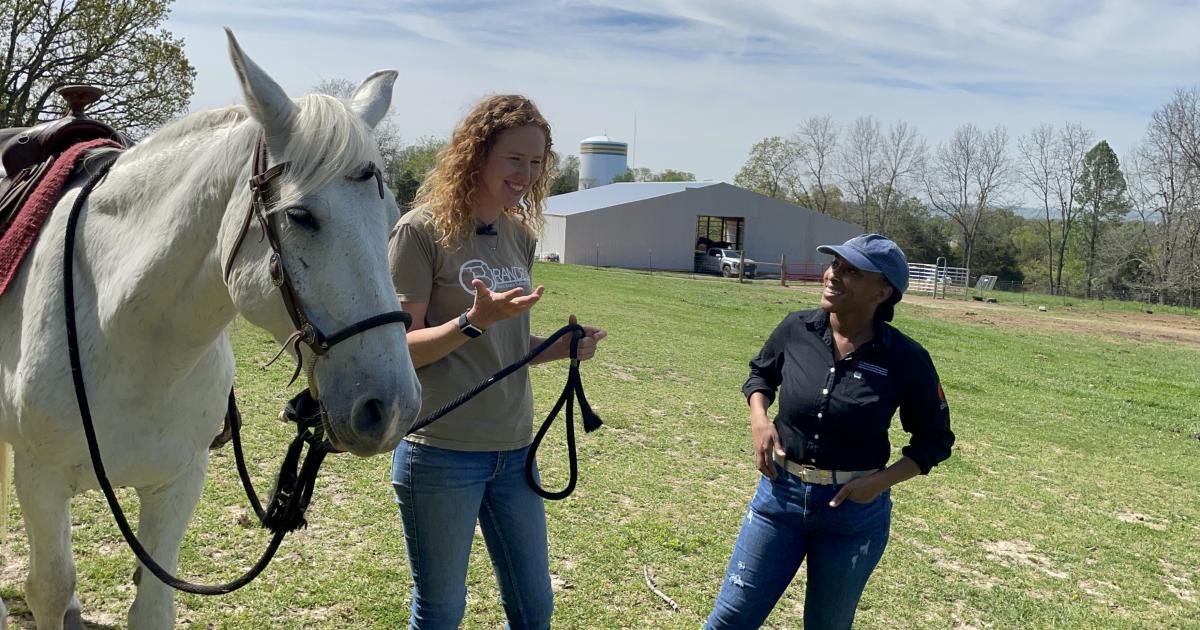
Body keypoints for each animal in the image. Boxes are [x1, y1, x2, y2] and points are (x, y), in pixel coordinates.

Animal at [0, 31, 421, 629]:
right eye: (300, 217)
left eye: (389, 220)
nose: (391, 409)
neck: (130, 336)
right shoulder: (41, 480)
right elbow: (50, 589)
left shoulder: (178, 484)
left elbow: (151, 606)